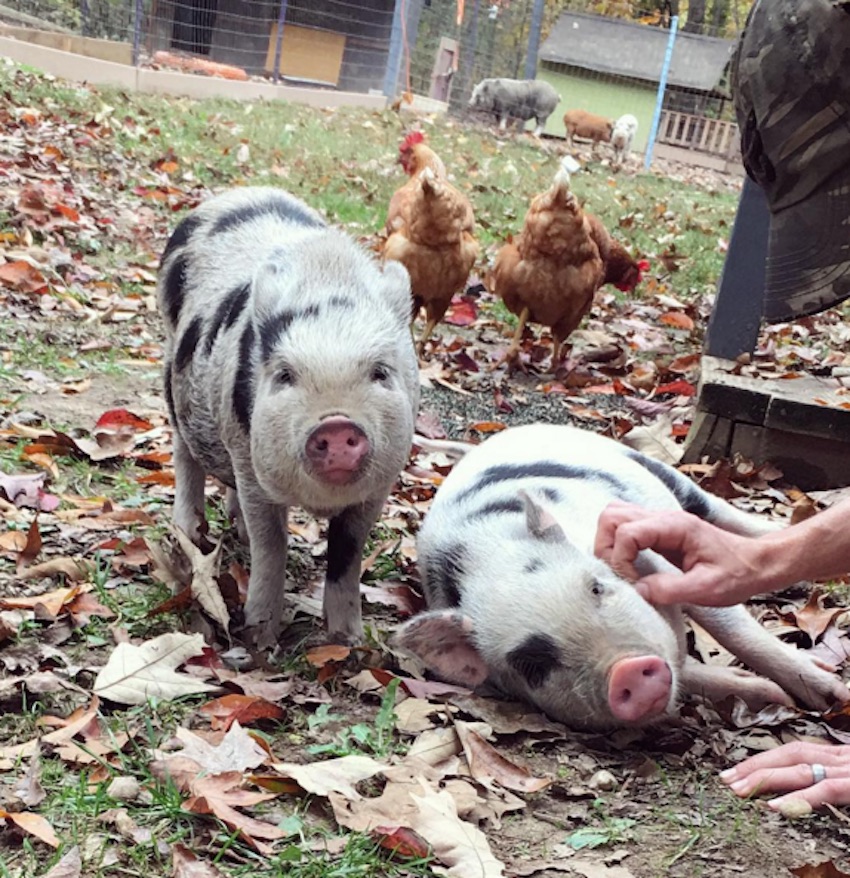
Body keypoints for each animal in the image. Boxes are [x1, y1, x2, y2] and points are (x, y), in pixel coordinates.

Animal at [157, 187, 419, 648]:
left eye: (380, 372)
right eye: (285, 375)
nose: (336, 423)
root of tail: (239, 192)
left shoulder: (379, 486)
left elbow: (347, 555)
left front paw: (350, 641)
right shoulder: (250, 465)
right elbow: (271, 548)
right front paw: (260, 639)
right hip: (174, 370)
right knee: (184, 451)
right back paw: (189, 530)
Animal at [395, 424, 848, 730]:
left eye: (597, 587)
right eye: (531, 663)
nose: (627, 671)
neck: (482, 554)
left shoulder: (650, 555)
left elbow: (729, 621)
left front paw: (835, 695)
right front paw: (771, 695)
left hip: (651, 469)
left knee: (718, 511)